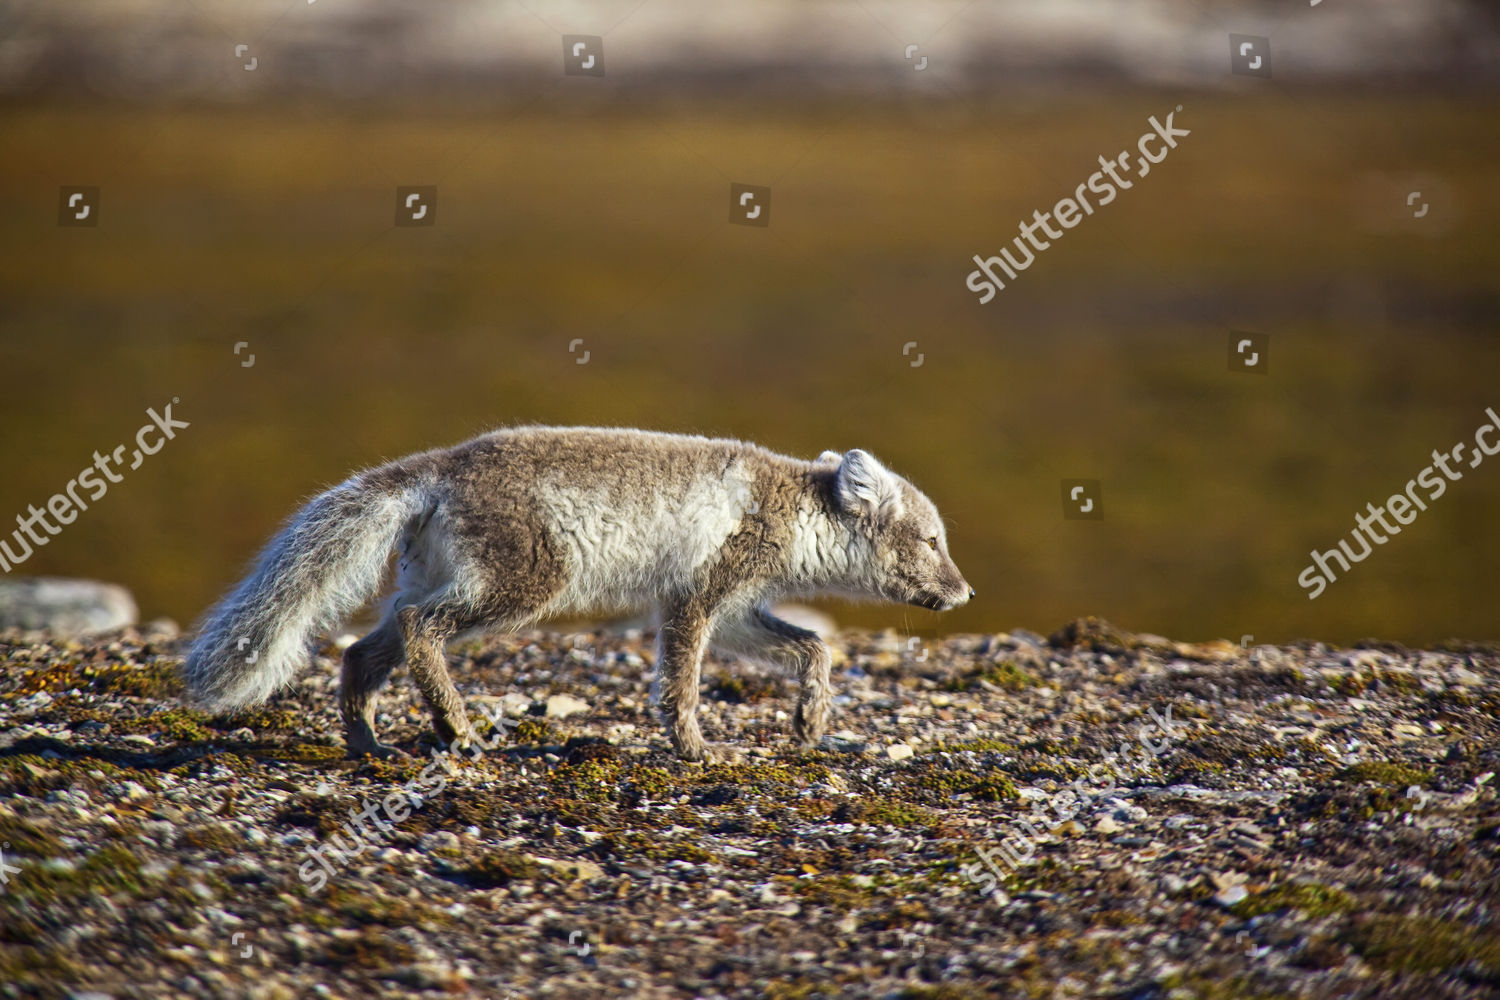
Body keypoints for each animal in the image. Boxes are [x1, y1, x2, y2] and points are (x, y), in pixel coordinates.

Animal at [184, 426, 973, 761]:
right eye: (933, 541)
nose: (965, 593)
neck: (790, 509)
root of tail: (440, 463)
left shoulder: (734, 609)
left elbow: (815, 651)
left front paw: (808, 723)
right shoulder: (693, 600)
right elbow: (681, 687)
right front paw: (697, 750)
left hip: (445, 581)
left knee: (361, 650)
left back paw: (367, 741)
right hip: (518, 588)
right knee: (416, 629)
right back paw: (454, 728)